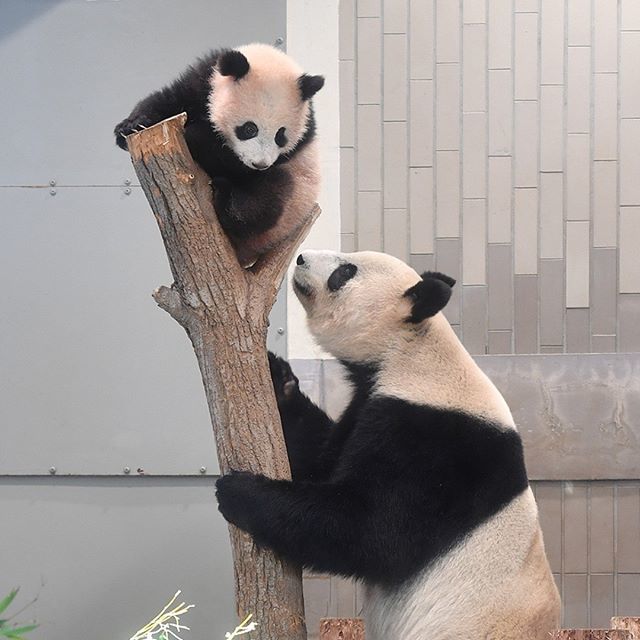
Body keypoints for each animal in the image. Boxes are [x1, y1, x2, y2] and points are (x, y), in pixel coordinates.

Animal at [114, 43, 324, 266]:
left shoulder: (294, 149)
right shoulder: (202, 81)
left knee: (266, 201)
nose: (260, 164)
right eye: (250, 128)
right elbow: (169, 99)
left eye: (280, 135)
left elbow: (231, 164)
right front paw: (130, 127)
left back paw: (225, 196)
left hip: (293, 201)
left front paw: (194, 135)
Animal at [216, 250, 561, 640]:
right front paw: (276, 378)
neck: (411, 352)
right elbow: (320, 462)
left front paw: (237, 490)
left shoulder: (436, 442)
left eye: (344, 271)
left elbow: (370, 529)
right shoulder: (368, 403)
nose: (301, 258)